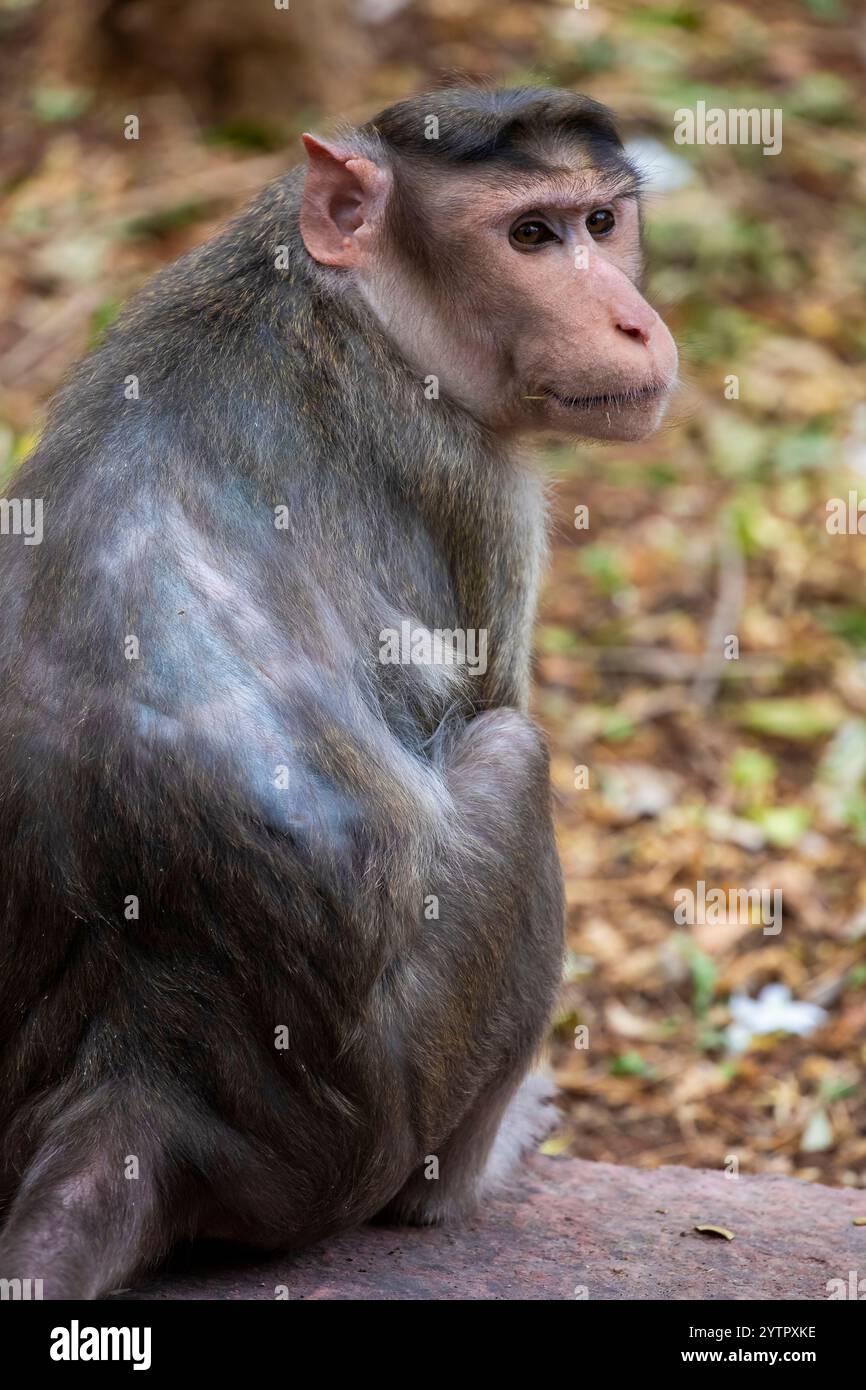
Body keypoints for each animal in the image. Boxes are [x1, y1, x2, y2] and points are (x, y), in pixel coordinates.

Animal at [0, 86, 677, 1300]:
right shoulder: (472, 478)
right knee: (512, 756)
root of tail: (135, 1082)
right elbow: (489, 695)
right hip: (378, 1122)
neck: (346, 299)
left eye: (601, 223)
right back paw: (466, 1175)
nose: (634, 323)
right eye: (530, 236)